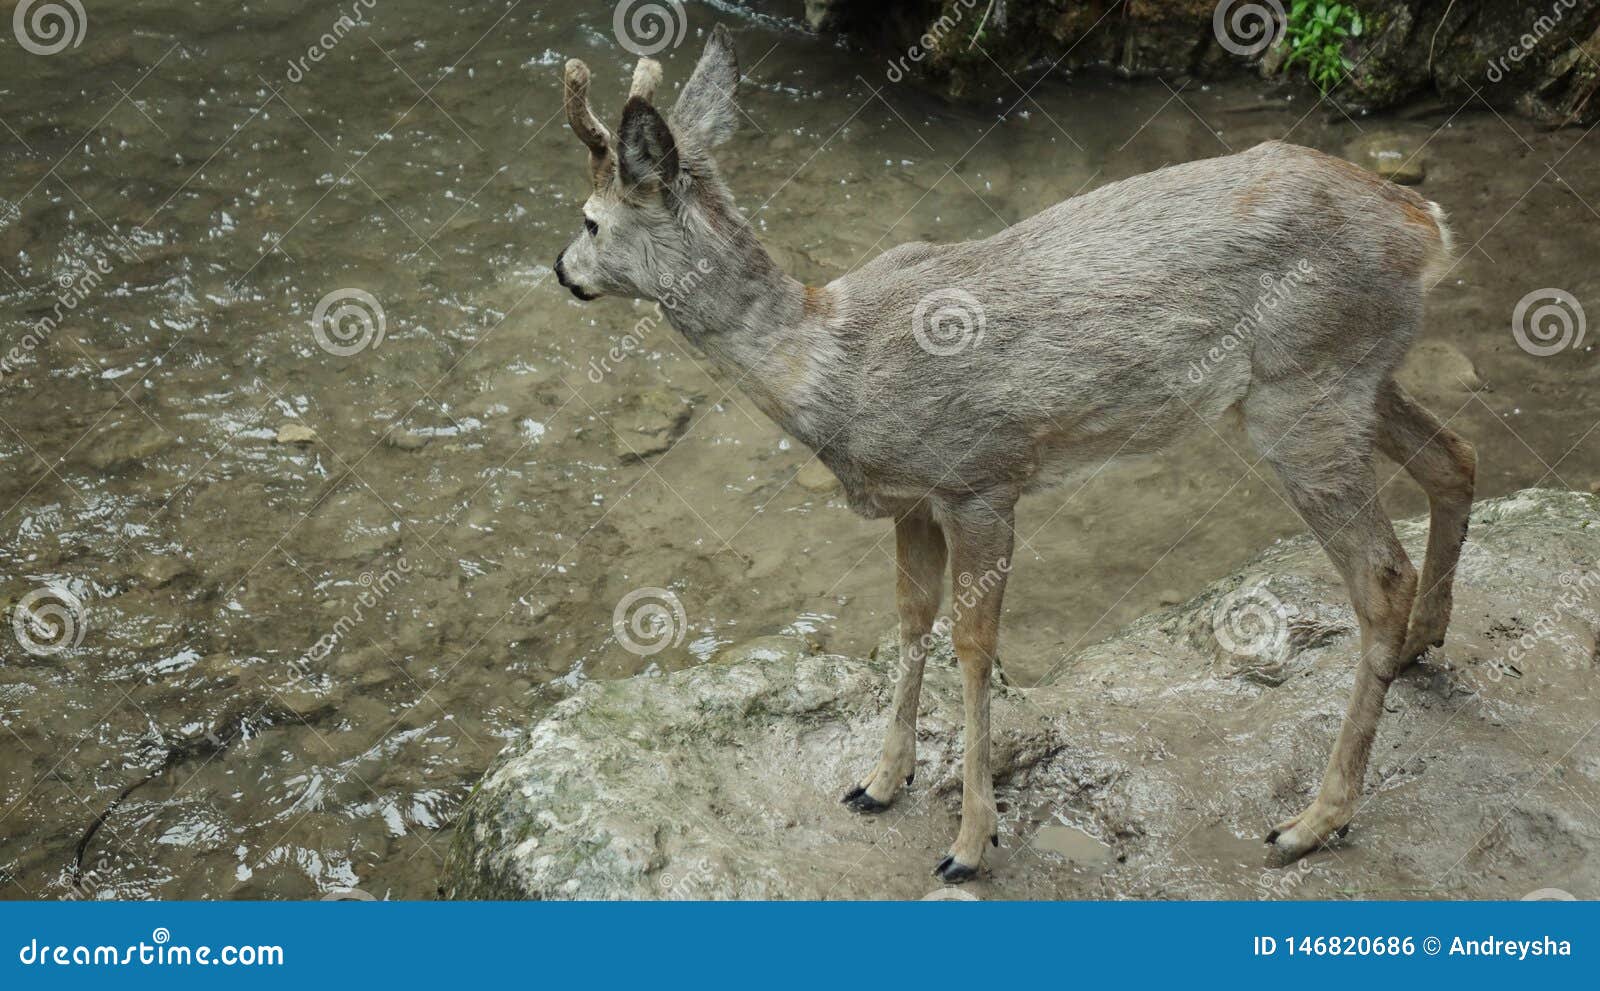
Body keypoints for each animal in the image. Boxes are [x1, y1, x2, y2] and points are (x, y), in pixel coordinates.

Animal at [554, 25, 1476, 884]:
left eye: (592, 220)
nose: (562, 269)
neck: (834, 367)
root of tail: (1426, 225)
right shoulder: (914, 498)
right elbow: (909, 618)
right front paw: (879, 780)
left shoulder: (983, 477)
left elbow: (973, 646)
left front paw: (969, 840)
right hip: (1346, 376)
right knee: (1455, 455)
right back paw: (1423, 644)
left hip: (1301, 391)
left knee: (1380, 574)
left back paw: (1312, 819)